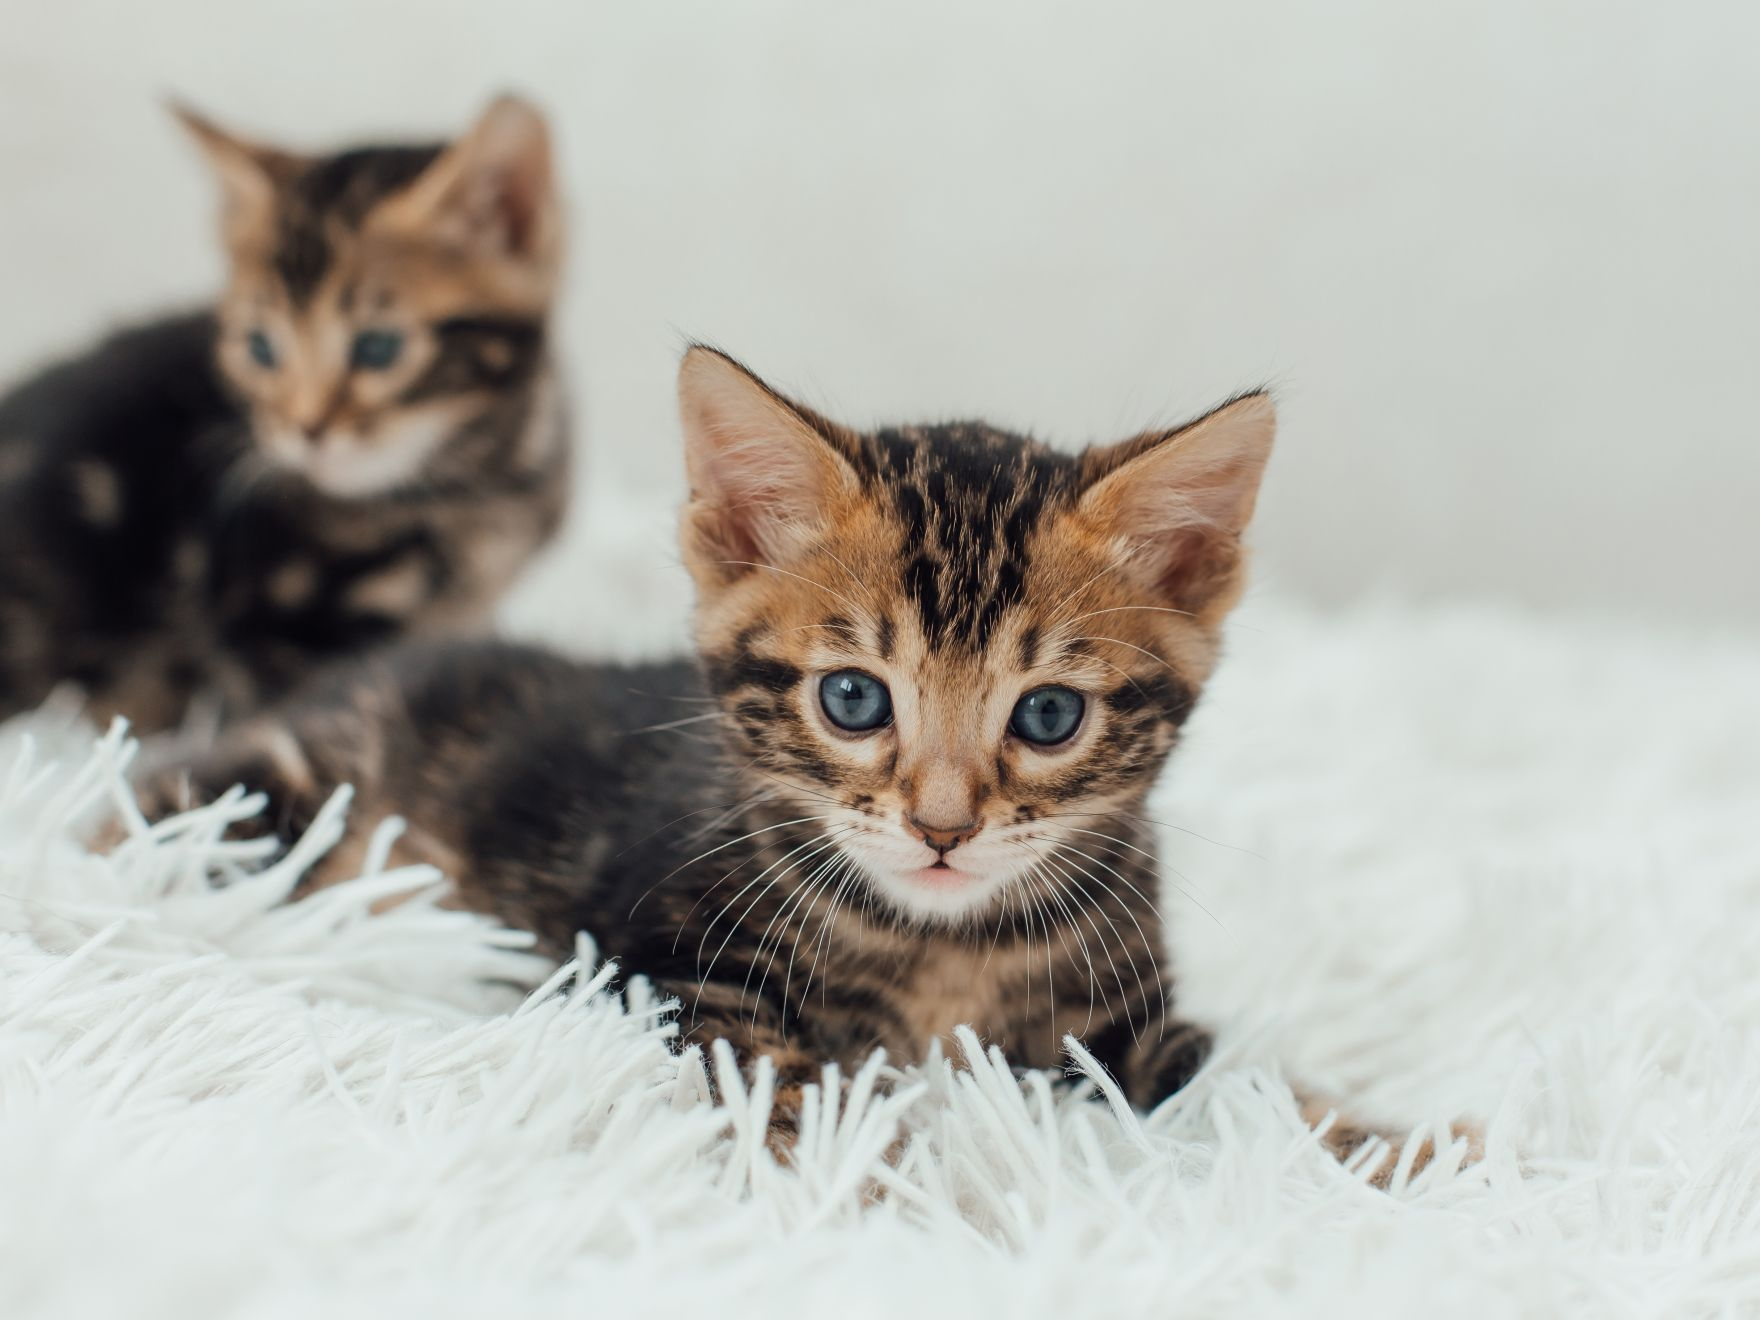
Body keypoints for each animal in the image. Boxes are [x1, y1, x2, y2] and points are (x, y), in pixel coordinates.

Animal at [133, 346, 1457, 1182]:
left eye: (1044, 719)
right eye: (853, 698)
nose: (941, 828)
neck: (944, 951)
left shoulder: (1113, 1032)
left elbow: (1240, 1081)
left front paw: (1398, 1143)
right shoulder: (669, 968)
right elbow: (784, 1075)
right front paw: (852, 1183)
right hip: (285, 789)